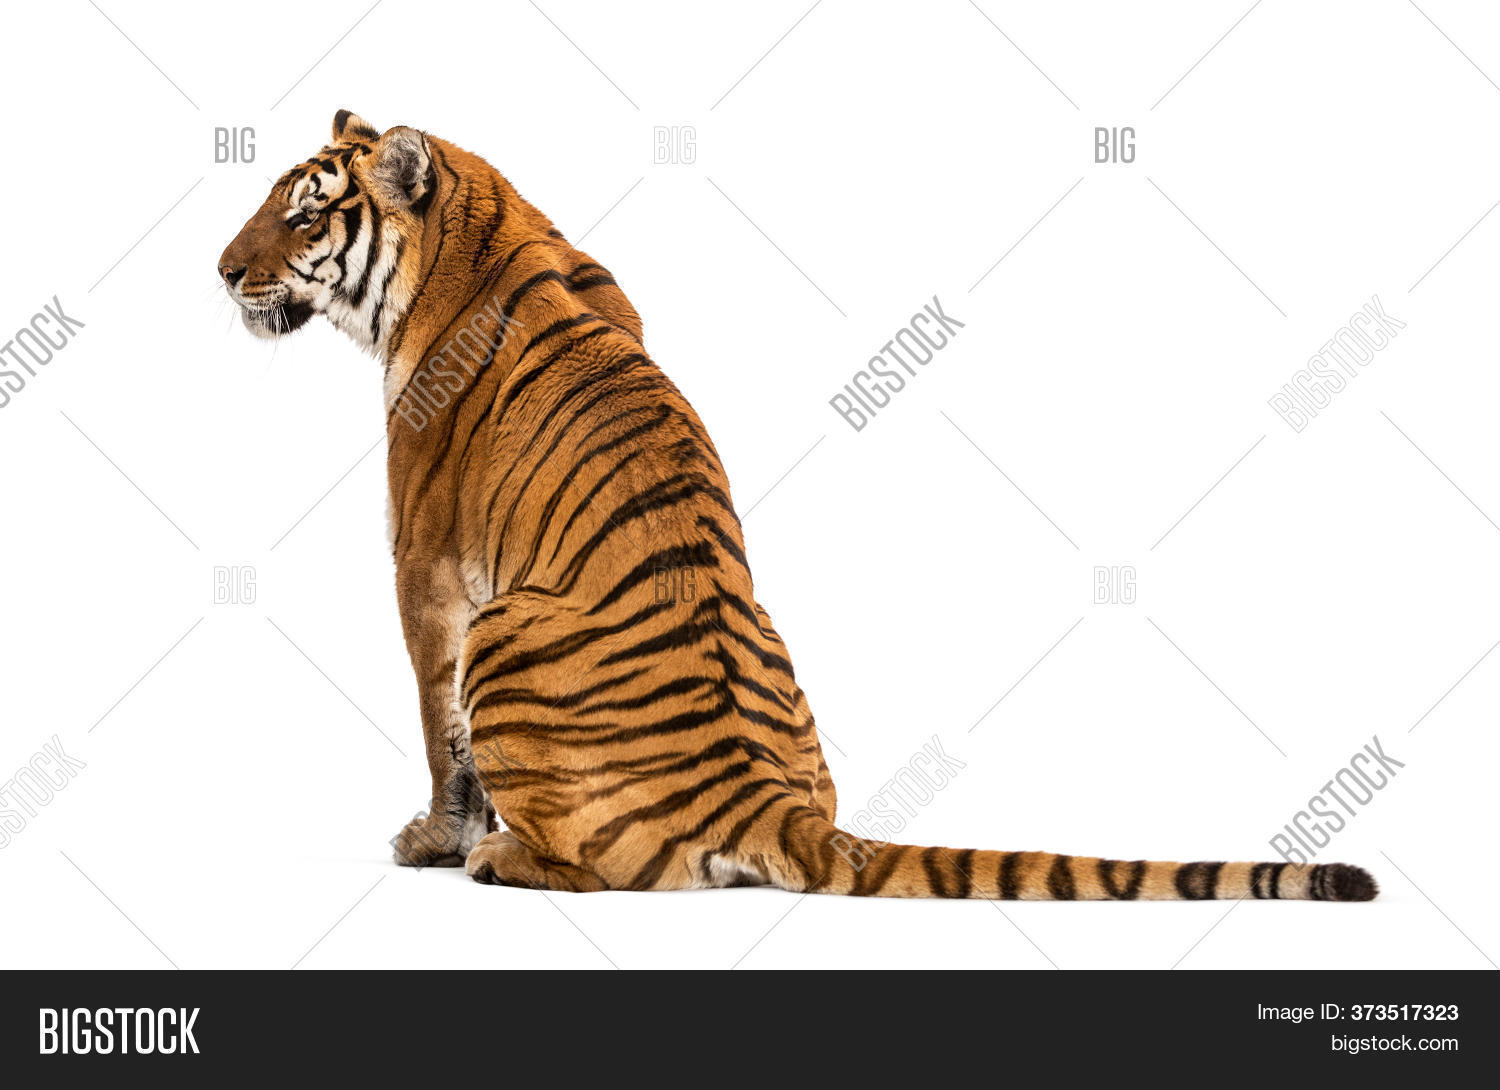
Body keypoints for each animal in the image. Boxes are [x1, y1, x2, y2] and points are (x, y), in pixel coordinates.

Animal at [217, 110, 1377, 902]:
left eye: (304, 212)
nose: (224, 271)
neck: (478, 223)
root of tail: (759, 792)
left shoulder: (426, 566)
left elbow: (437, 729)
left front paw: (434, 841)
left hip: (507, 624)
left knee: (605, 868)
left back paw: (499, 856)